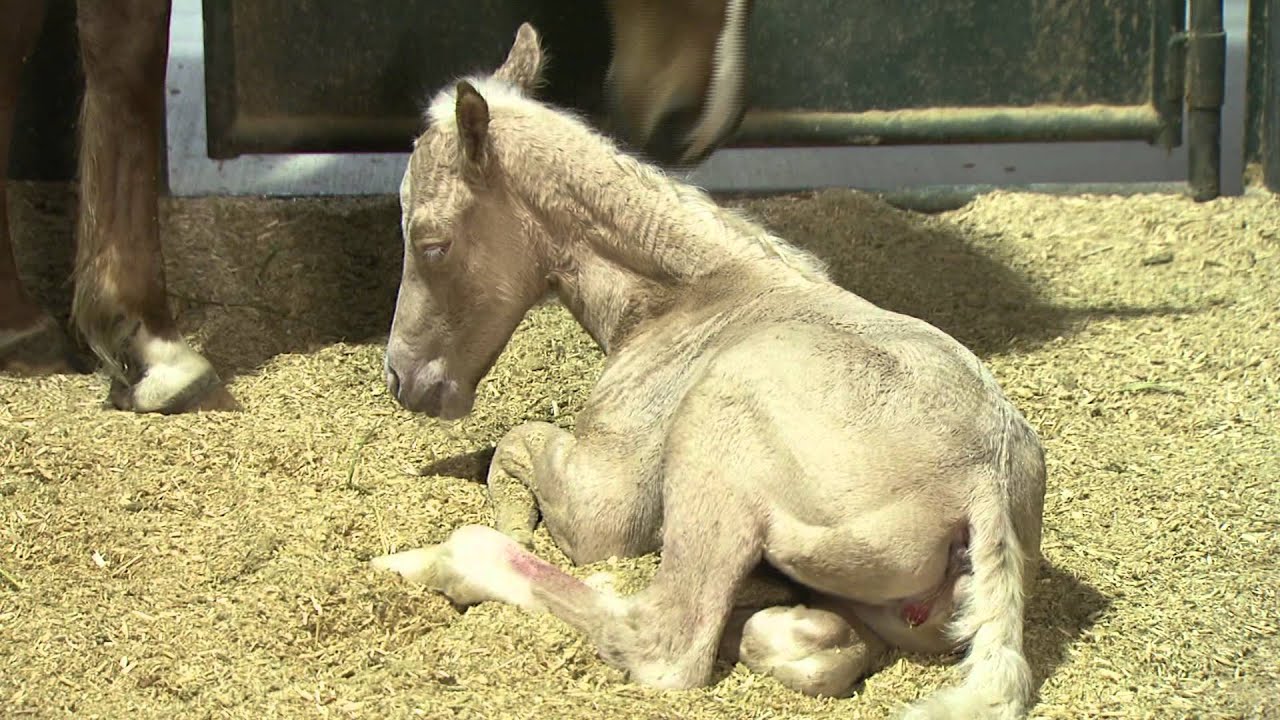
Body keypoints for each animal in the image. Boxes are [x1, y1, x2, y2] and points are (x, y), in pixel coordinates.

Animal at [371, 23, 1047, 720]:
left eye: (432, 243)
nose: (404, 378)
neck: (689, 299)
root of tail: (988, 483)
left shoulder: (604, 506)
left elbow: (519, 442)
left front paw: (511, 517)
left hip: (714, 435)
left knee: (667, 642)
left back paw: (433, 560)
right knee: (817, 644)